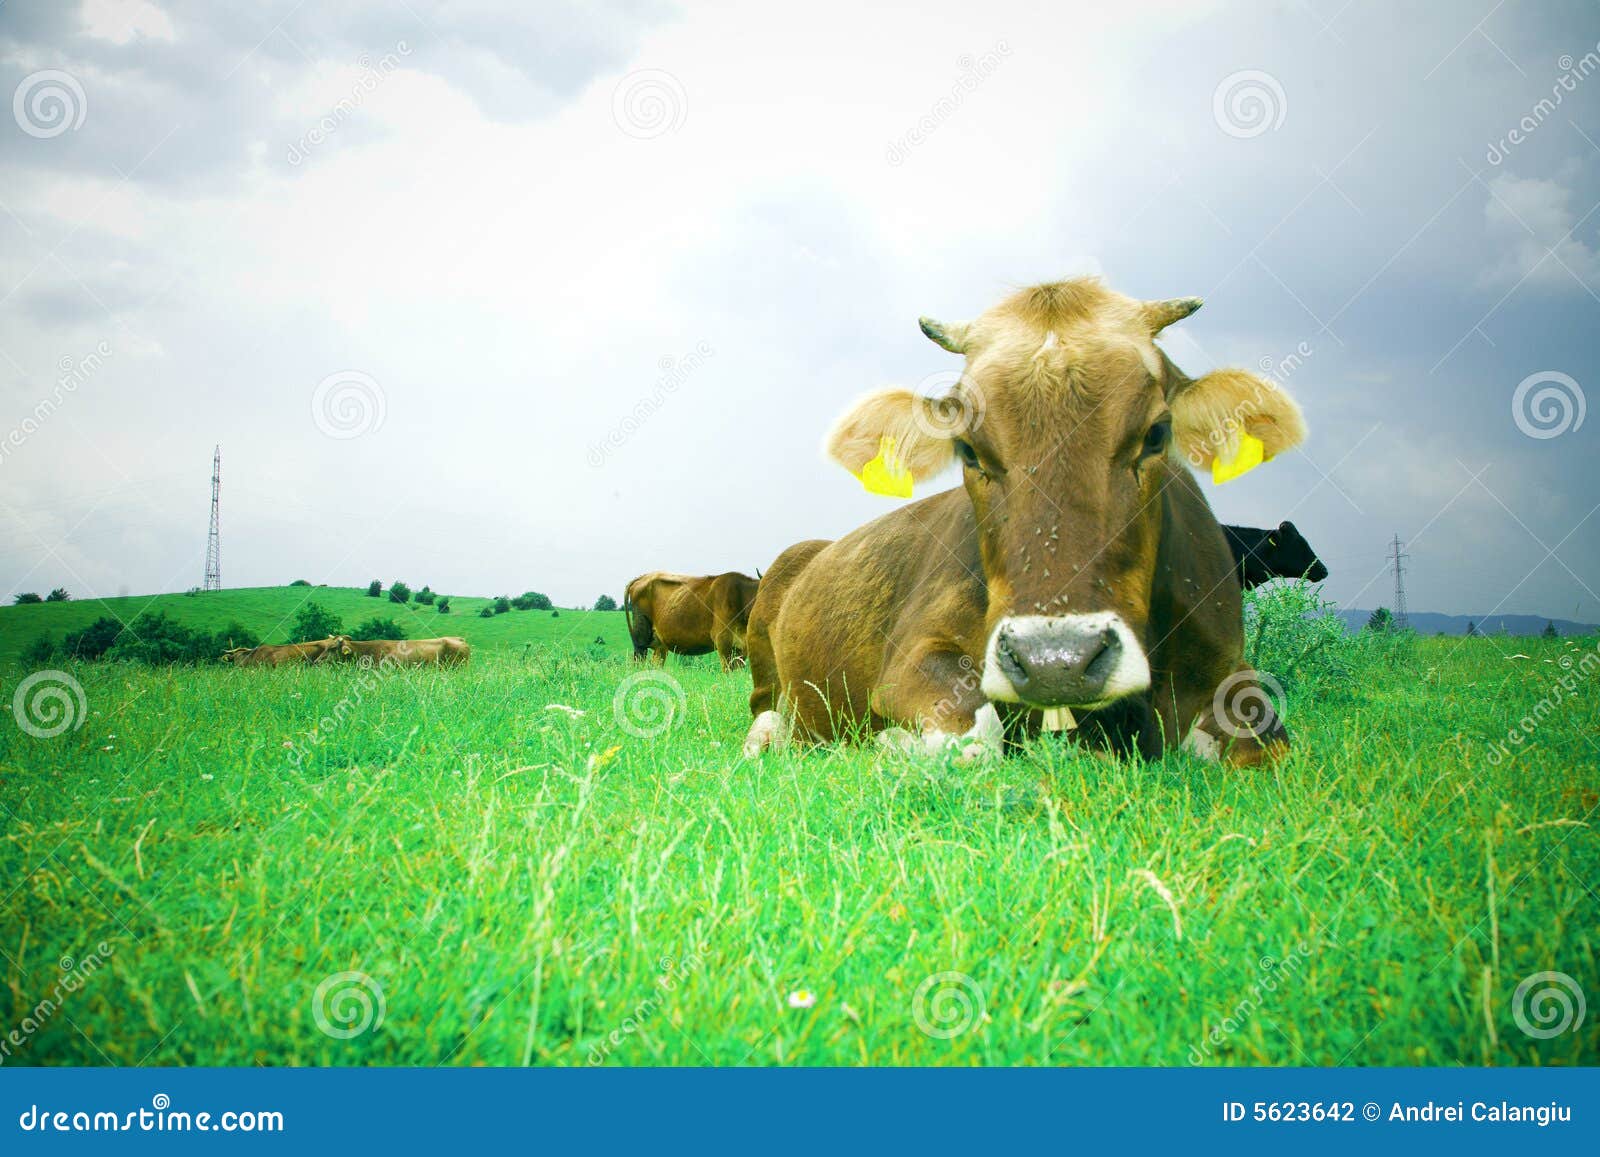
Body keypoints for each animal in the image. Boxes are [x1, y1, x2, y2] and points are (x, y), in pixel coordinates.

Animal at [624, 571, 761, 672]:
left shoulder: (742, 646)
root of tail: (644, 576)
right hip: (641, 635)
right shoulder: (722, 640)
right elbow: (728, 670)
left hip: (660, 645)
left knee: (656, 663)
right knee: (639, 659)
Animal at [743, 277, 1307, 767]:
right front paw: (891, 744)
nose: (1055, 661)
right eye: (968, 449)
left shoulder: (1228, 667)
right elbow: (974, 736)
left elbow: (1265, 741)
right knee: (765, 707)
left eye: (1156, 434)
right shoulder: (911, 657)